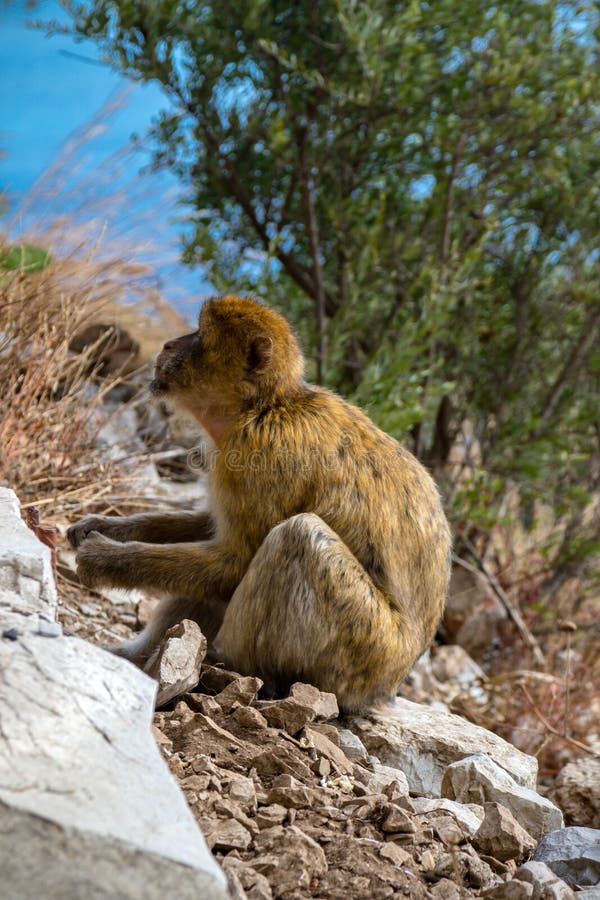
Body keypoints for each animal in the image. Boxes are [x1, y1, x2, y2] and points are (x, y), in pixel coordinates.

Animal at [67, 294, 451, 713]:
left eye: (199, 333)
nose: (168, 344)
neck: (266, 405)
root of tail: (386, 689)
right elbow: (213, 529)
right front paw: (105, 527)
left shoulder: (258, 452)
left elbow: (235, 561)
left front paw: (107, 560)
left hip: (359, 651)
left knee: (298, 536)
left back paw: (228, 664)